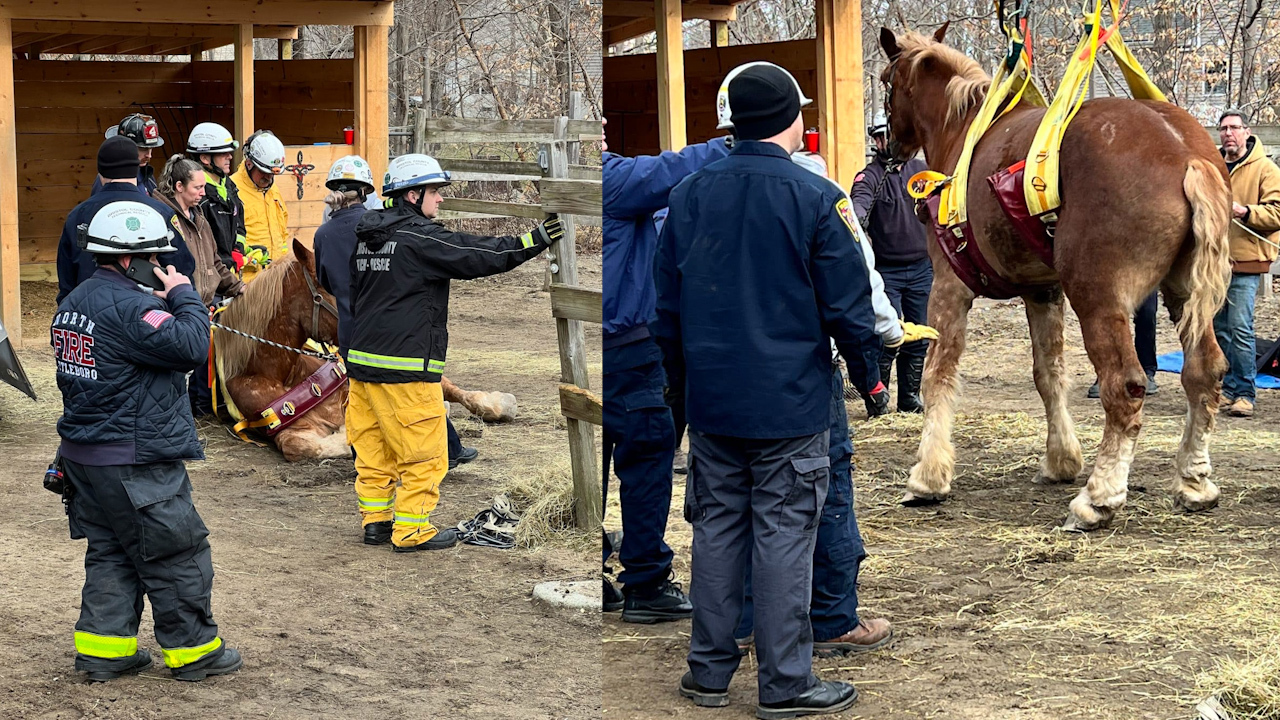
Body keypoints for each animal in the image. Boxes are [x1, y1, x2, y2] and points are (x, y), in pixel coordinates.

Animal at [213, 239, 522, 462]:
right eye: (330, 287)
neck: (278, 374)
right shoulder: (292, 430)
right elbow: (304, 447)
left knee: (452, 389)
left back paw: (495, 404)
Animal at [878, 26, 1232, 530]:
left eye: (886, 81)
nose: (885, 147)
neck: (963, 133)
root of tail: (1186, 153)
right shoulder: (1042, 291)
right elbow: (1049, 374)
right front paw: (1061, 459)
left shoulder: (948, 285)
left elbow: (937, 374)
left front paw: (928, 477)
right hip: (1183, 294)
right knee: (1204, 372)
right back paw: (1194, 481)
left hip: (1099, 296)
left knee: (1125, 386)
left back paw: (1099, 497)